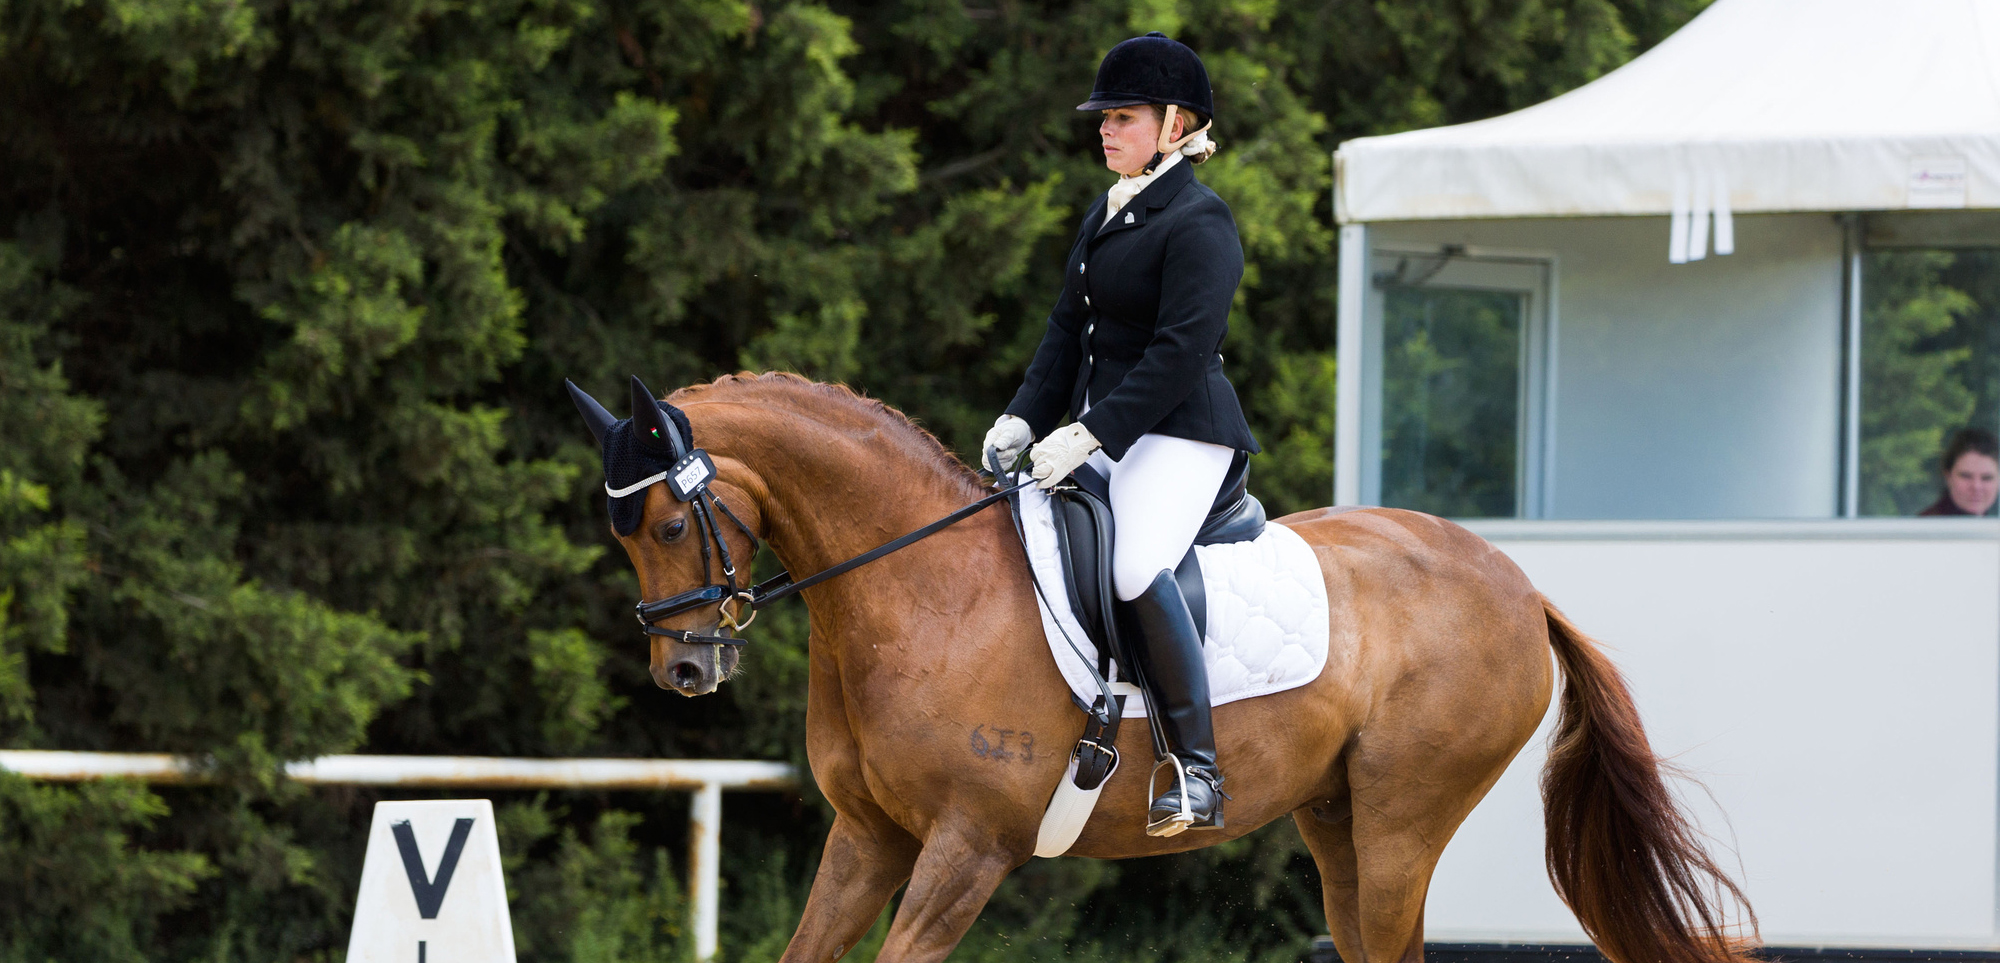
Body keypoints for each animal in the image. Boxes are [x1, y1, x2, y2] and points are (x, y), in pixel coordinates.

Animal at [573, 371, 1755, 963]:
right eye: (621, 534)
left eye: (670, 525)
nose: (686, 670)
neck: (920, 590)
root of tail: (1515, 582)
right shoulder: (868, 838)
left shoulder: (967, 848)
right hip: (1337, 824)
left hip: (1402, 821)